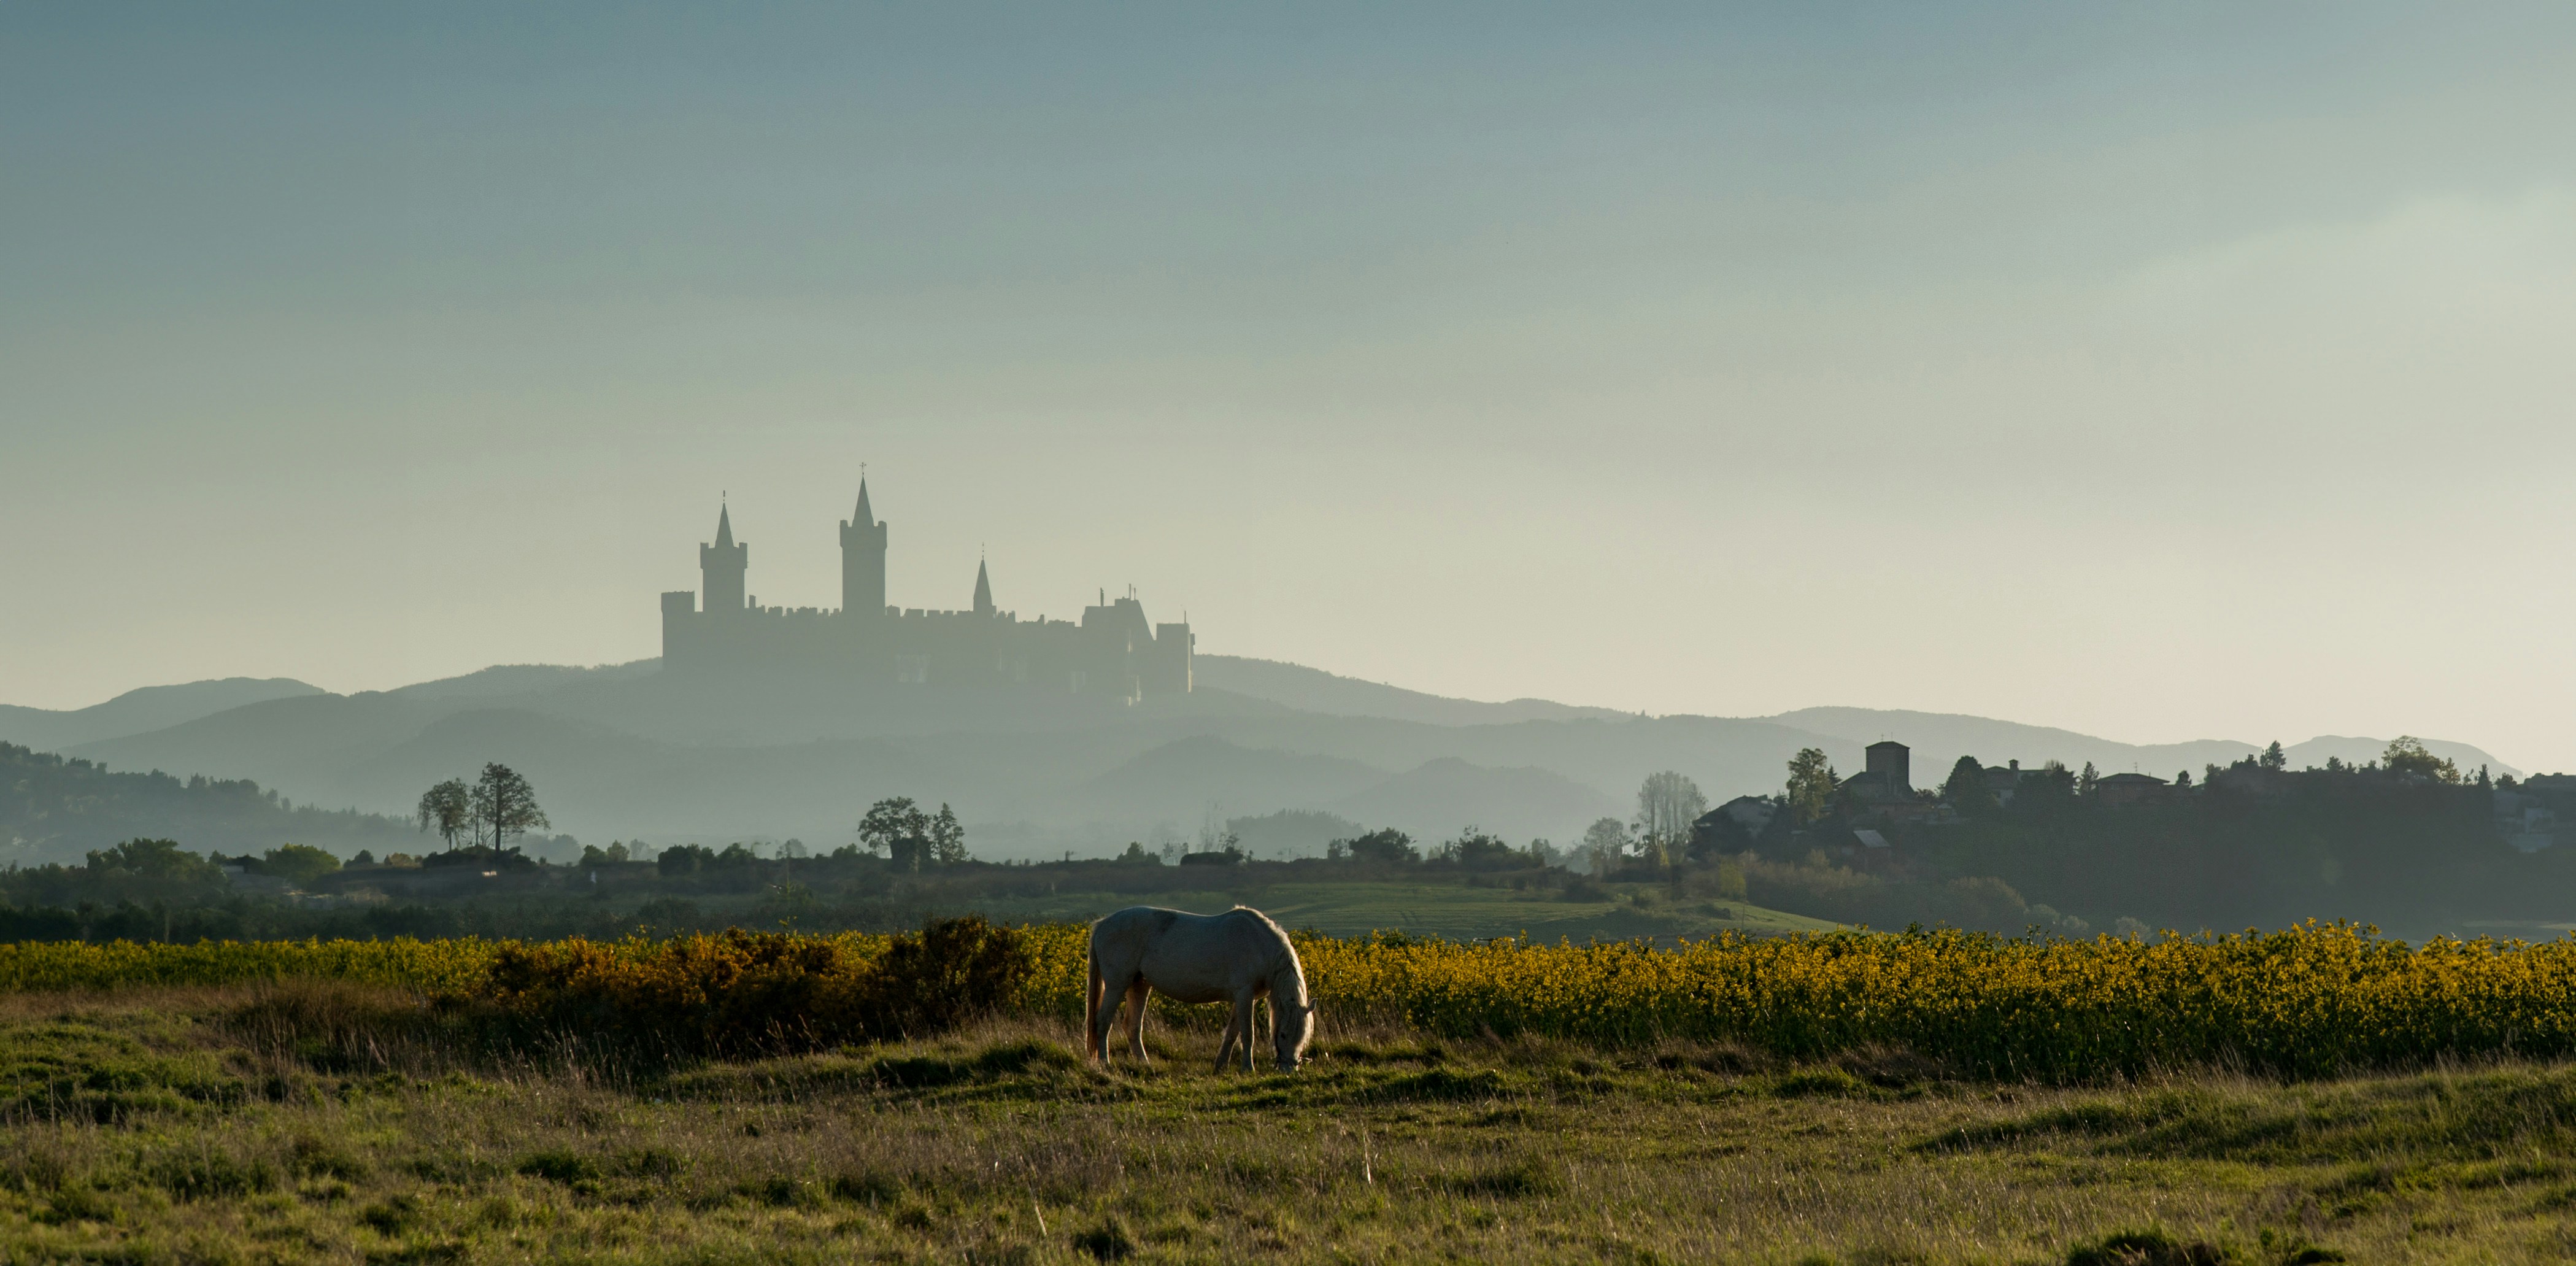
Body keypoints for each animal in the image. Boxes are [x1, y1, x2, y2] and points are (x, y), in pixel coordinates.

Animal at [1086, 905, 1314, 1073]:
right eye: (1282, 1034)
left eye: (1303, 1036)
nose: (1288, 1070)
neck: (1260, 945)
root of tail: (1103, 924)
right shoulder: (1244, 995)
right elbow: (1247, 1034)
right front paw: (1248, 1069)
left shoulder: (1244, 998)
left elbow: (1232, 1034)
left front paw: (1221, 1066)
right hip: (1117, 985)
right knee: (1103, 1021)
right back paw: (1106, 1063)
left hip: (1139, 985)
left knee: (1133, 1026)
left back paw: (1144, 1063)